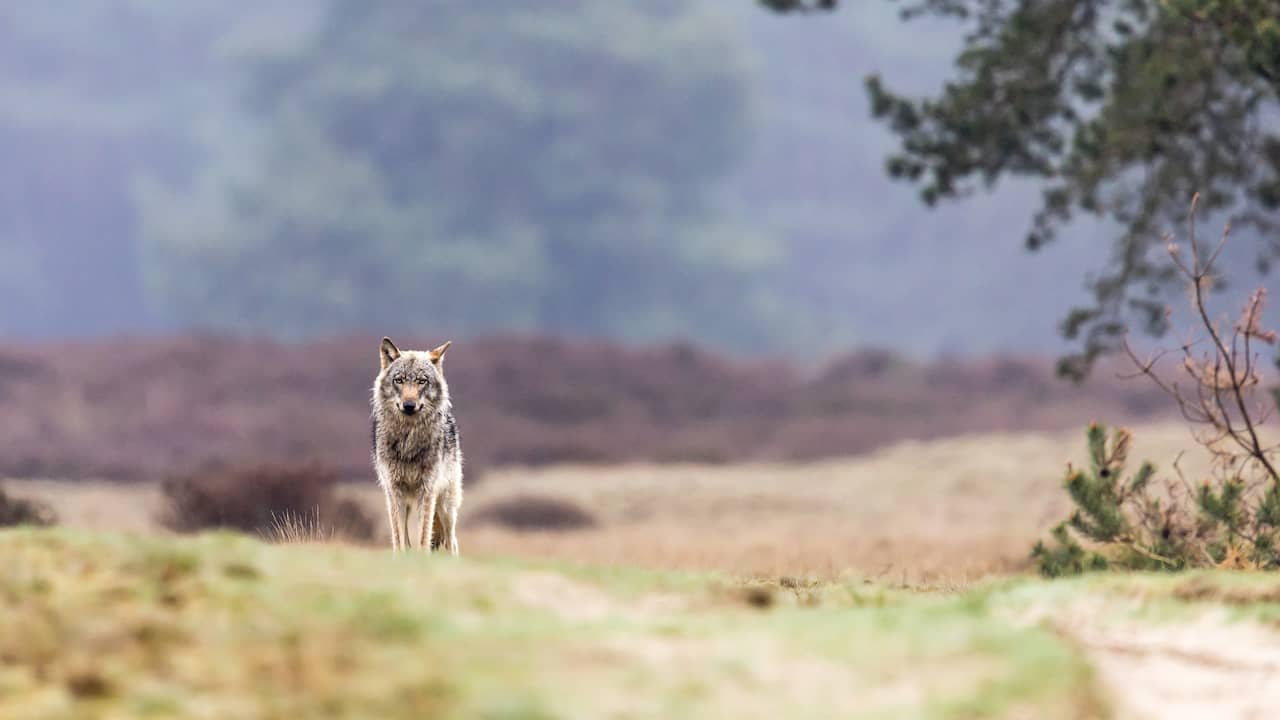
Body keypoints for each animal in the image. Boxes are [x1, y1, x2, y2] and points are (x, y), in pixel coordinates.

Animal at [370, 336, 463, 554]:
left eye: (422, 381)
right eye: (399, 380)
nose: (409, 405)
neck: (408, 441)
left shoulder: (426, 491)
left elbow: (423, 536)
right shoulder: (394, 491)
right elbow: (399, 539)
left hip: (445, 507)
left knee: (451, 542)